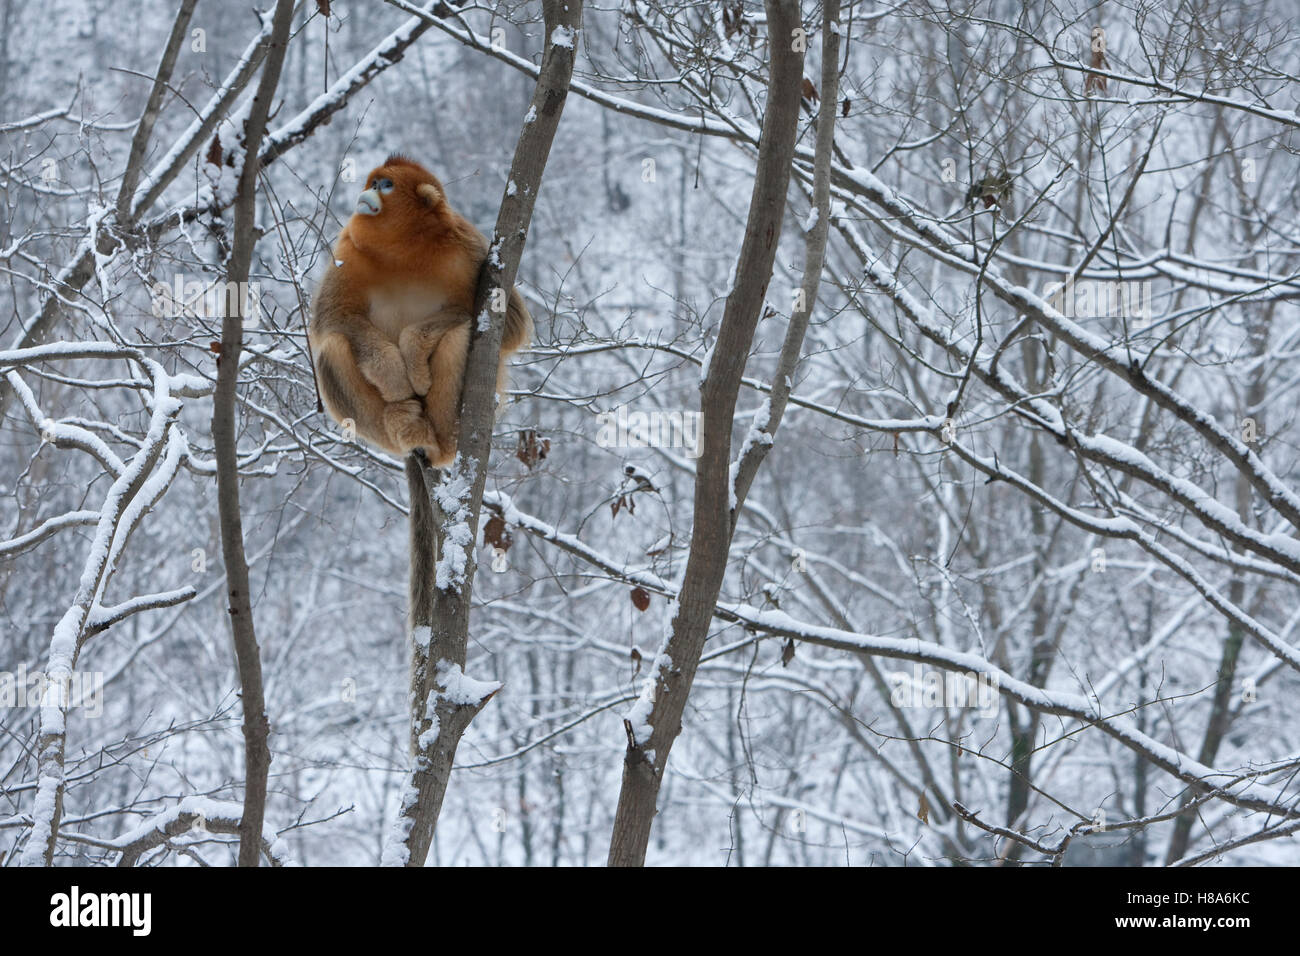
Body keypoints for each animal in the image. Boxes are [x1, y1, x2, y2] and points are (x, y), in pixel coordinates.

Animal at [309, 155, 531, 466]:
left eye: (386, 185)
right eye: (374, 183)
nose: (369, 192)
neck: (404, 248)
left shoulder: (469, 247)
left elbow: (510, 323)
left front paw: (414, 358)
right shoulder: (348, 250)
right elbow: (332, 319)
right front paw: (394, 377)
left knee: (459, 337)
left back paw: (436, 440)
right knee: (333, 347)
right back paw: (404, 422)